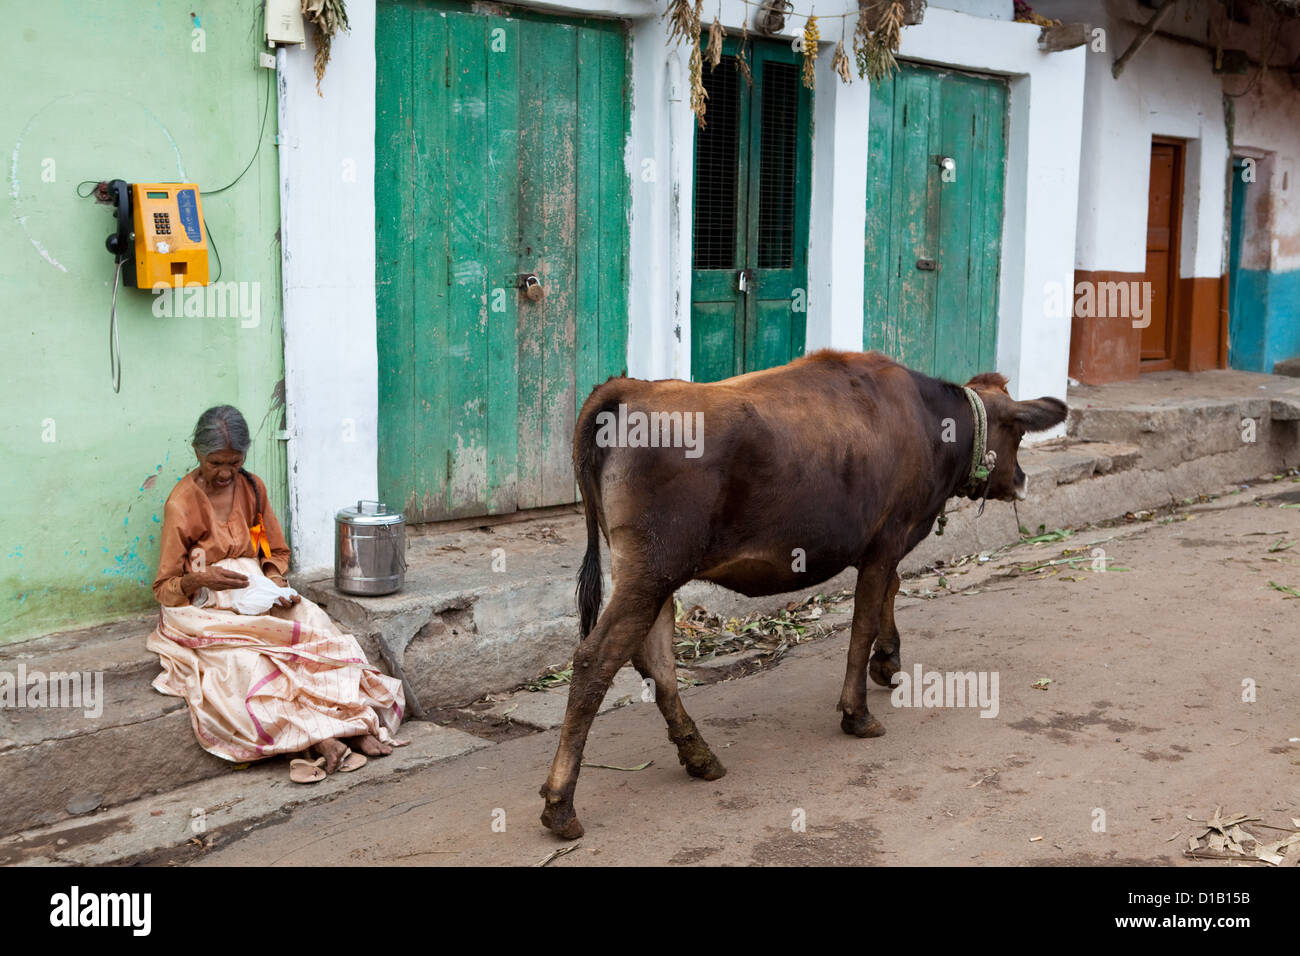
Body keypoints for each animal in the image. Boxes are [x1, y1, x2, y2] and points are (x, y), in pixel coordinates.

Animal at [539, 350, 1068, 839]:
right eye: (1018, 434)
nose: (1022, 481)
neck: (932, 419)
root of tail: (628, 389)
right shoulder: (887, 539)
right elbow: (864, 621)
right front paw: (858, 712)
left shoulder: (883, 544)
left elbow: (891, 593)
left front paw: (888, 662)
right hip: (652, 571)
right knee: (595, 661)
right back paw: (561, 805)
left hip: (655, 576)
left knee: (656, 663)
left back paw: (698, 755)